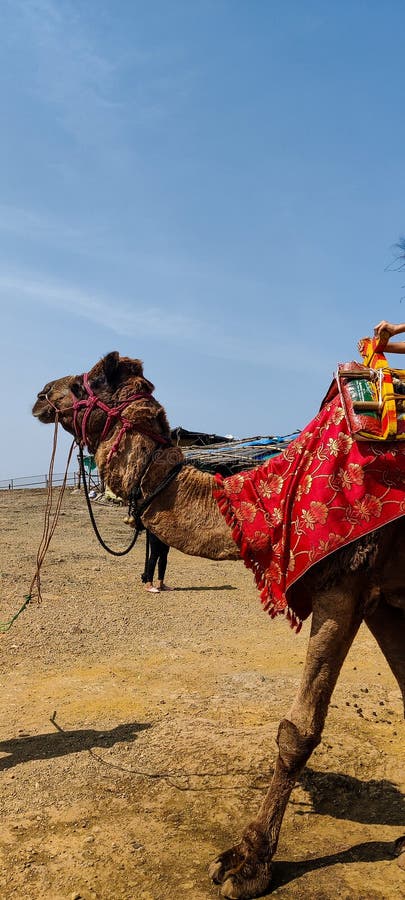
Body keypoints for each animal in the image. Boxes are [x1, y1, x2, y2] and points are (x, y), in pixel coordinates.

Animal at [32, 351, 405, 900]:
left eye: (90, 380)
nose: (41, 394)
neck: (267, 498)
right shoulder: (385, 598)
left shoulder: (347, 578)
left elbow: (297, 729)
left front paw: (247, 862)